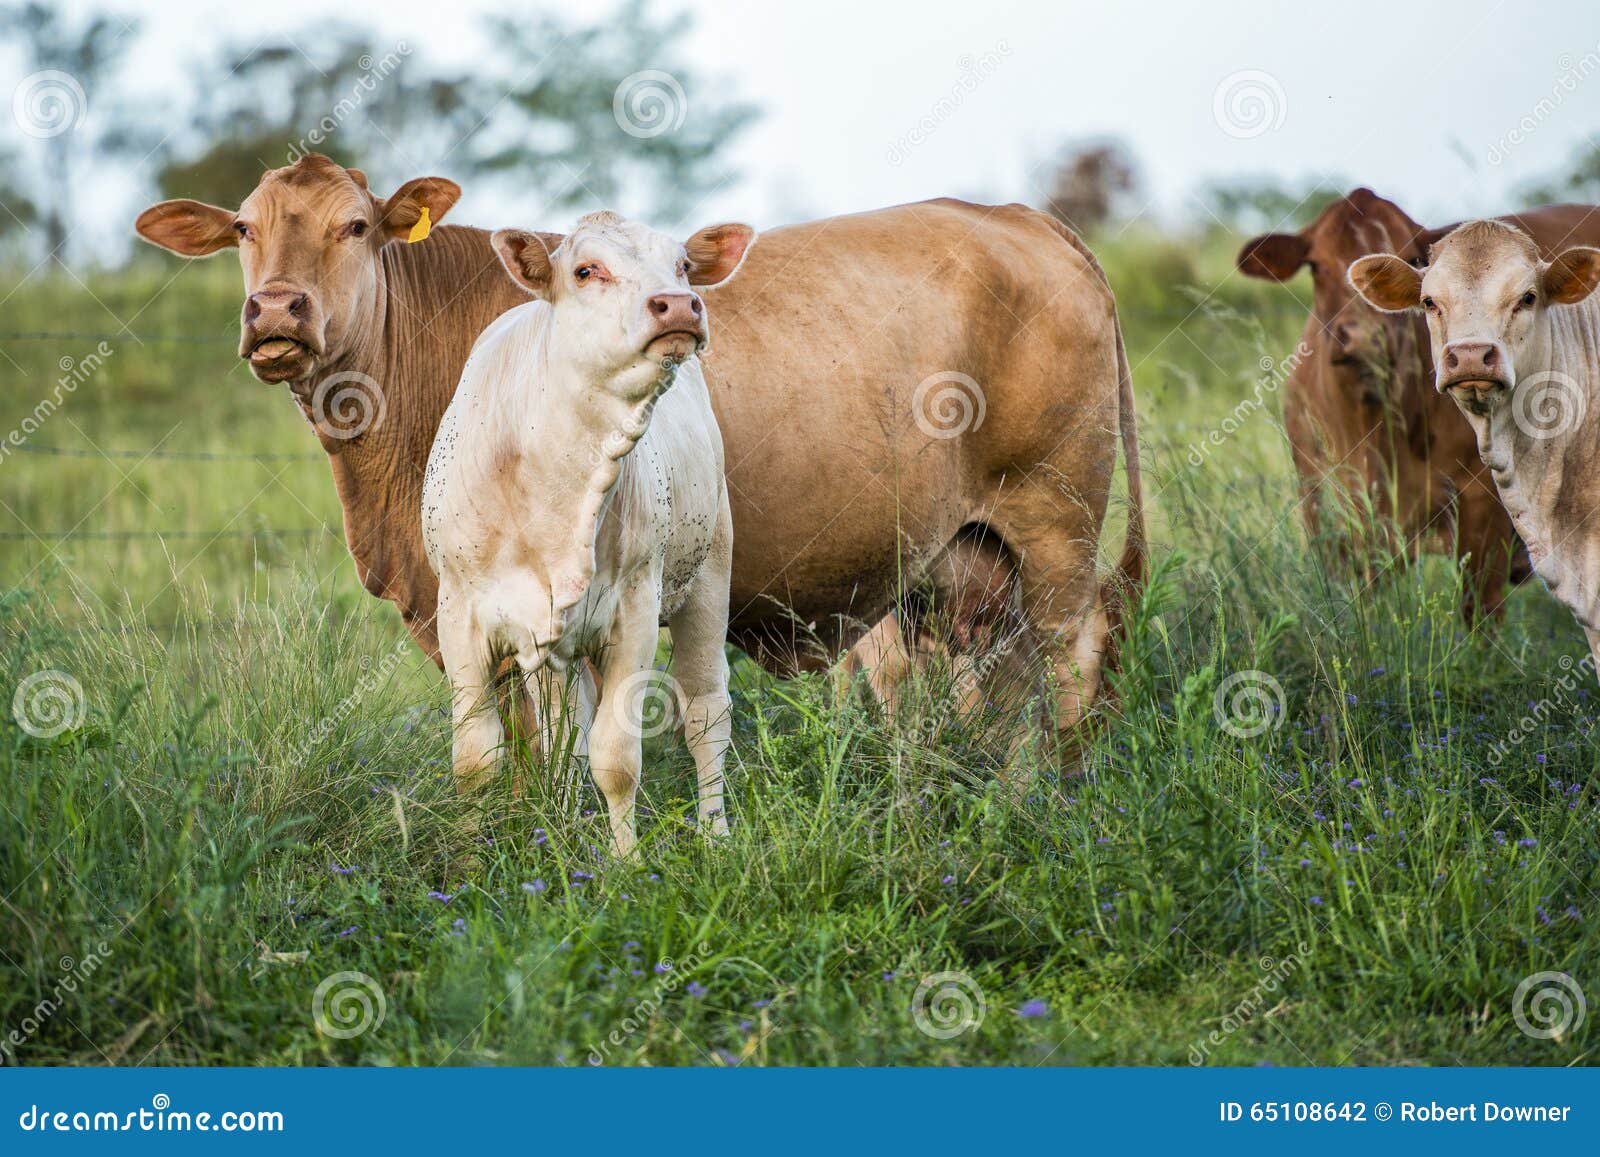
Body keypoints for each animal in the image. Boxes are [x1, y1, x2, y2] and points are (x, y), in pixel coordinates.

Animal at [134, 154, 1144, 765]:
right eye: (244, 230)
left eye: (354, 227)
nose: (276, 309)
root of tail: (1016, 216)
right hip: (967, 560)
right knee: (997, 678)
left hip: (1054, 518)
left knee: (1070, 653)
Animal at [424, 212, 750, 853]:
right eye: (584, 270)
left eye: (682, 264)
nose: (680, 304)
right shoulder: (460, 615)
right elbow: (478, 758)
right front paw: (468, 859)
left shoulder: (634, 612)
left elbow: (615, 757)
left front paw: (625, 862)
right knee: (563, 729)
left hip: (708, 574)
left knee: (706, 712)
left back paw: (715, 833)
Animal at [1236, 188, 1600, 618]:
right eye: (1317, 266)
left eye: (1412, 257)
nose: (1365, 338)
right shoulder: (1322, 506)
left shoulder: (1482, 503)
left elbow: (1478, 608)